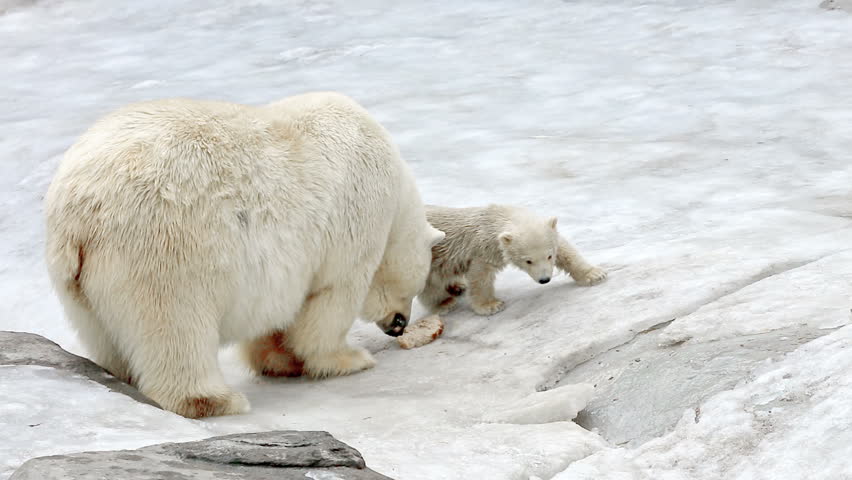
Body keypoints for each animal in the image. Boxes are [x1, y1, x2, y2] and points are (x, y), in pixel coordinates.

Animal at [43, 92, 444, 419]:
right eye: (413, 289)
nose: (399, 325)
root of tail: (79, 213)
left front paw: (280, 361)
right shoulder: (355, 217)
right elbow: (332, 298)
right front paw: (349, 359)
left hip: (80, 284)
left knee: (105, 335)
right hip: (163, 247)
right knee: (176, 327)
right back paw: (215, 400)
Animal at [419, 204, 606, 315]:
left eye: (549, 255)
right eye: (528, 261)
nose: (544, 279)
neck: (495, 216)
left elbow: (564, 249)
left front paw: (594, 274)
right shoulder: (482, 250)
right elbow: (480, 277)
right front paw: (490, 305)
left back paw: (457, 286)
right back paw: (444, 303)